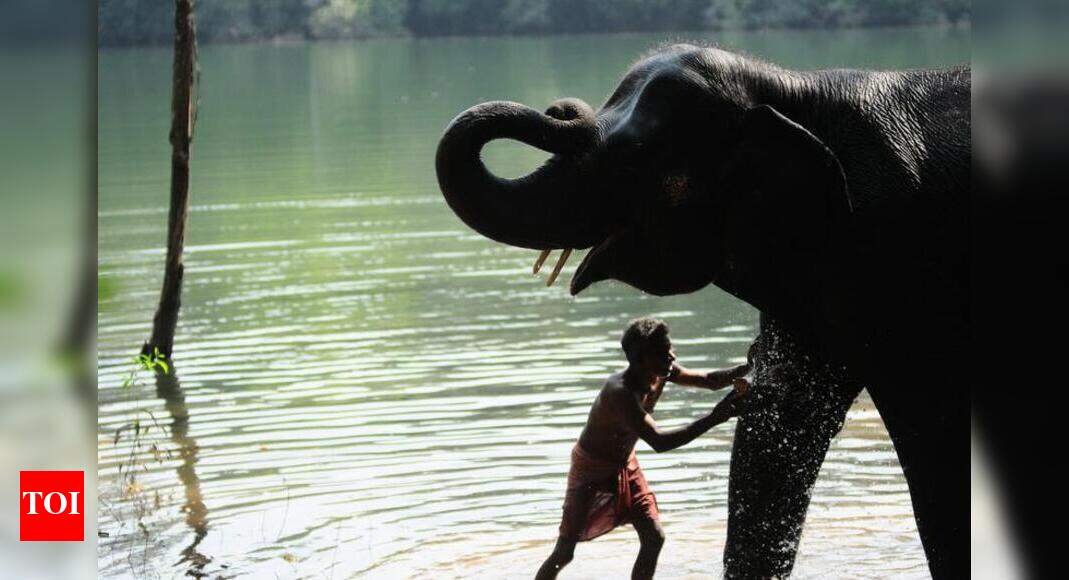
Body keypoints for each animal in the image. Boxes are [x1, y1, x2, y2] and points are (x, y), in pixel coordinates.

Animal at [434, 44, 969, 578]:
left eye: (635, 156)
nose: (561, 109)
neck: (796, 88)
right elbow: (781, 424)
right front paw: (746, 386)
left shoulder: (897, 260)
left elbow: (932, 434)